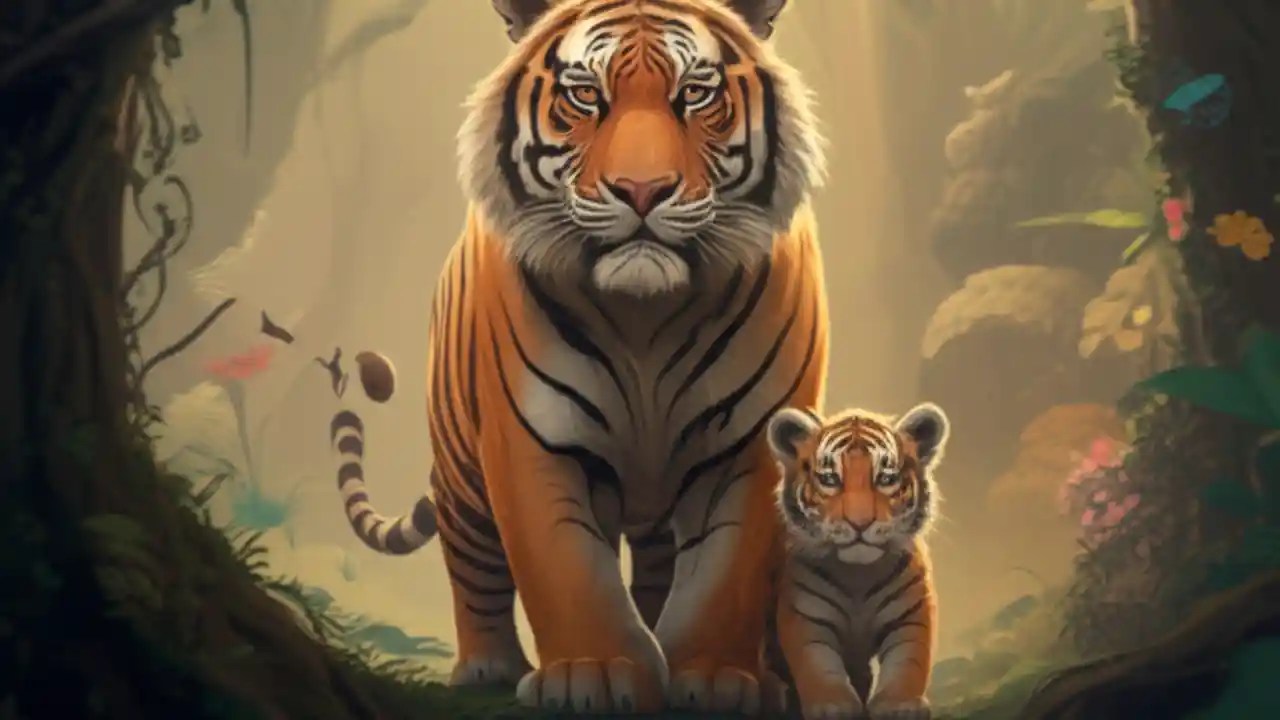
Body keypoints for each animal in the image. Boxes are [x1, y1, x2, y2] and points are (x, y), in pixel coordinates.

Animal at [329, 0, 826, 714]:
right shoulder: (532, 437)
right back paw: (486, 667)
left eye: (695, 94)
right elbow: (563, 563)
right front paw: (594, 675)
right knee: (473, 565)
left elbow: (726, 569)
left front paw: (711, 679)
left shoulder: (751, 443)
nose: (642, 190)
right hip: (460, 473)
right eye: (586, 95)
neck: (647, 318)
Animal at [764, 403, 950, 720]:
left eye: (886, 479)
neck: (858, 577)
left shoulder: (911, 614)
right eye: (830, 480)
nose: (860, 523)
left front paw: (898, 705)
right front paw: (831, 706)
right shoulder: (805, 615)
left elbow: (908, 659)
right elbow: (817, 663)